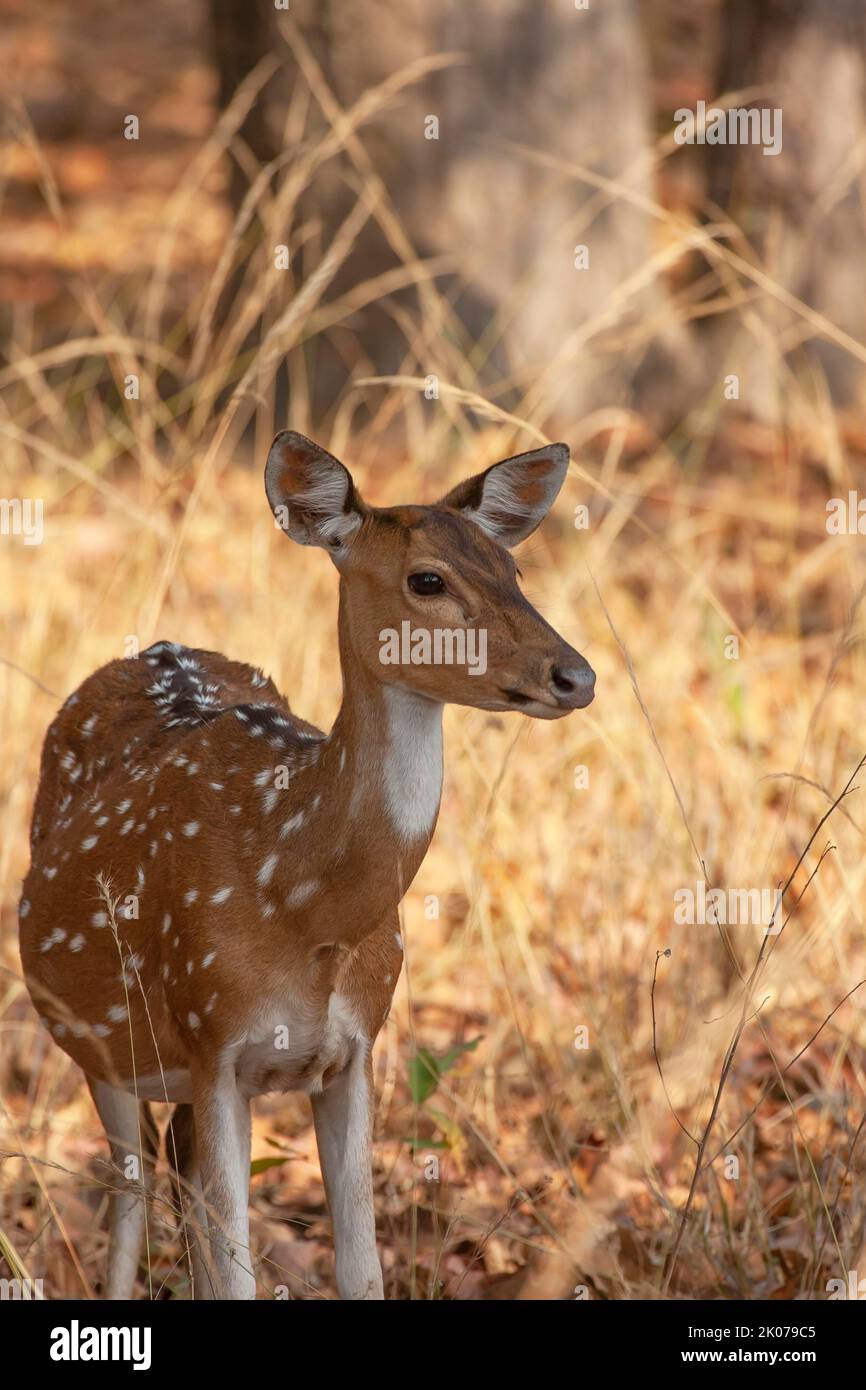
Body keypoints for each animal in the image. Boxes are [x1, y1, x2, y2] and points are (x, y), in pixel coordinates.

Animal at [19, 430, 596, 1300]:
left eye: (514, 570)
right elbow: (236, 1276)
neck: (300, 899)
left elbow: (361, 1271)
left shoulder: (354, 1049)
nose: (576, 675)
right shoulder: (213, 1040)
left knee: (173, 1178)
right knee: (131, 1191)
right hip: (97, 1043)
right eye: (428, 579)